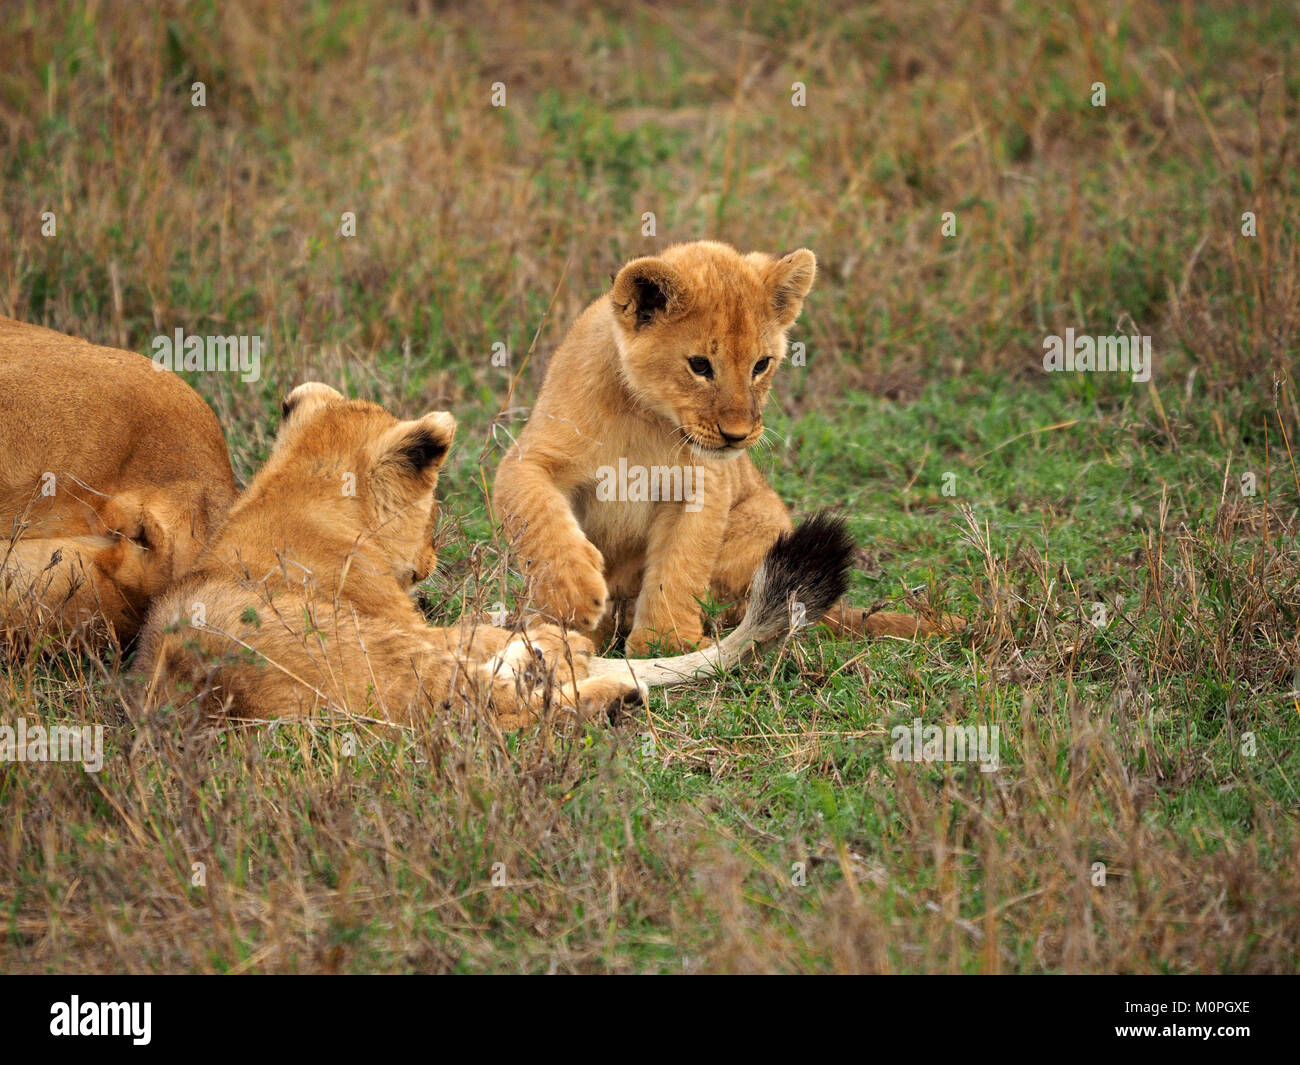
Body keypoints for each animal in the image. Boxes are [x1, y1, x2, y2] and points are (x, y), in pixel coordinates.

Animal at [133, 383, 854, 732]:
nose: (429, 561)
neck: (291, 495)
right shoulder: (406, 623)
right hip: (409, 650)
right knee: (544, 682)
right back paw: (603, 681)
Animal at [492, 240, 964, 654]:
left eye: (761, 365)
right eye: (700, 365)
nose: (737, 435)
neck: (646, 414)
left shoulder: (702, 486)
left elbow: (681, 566)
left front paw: (668, 643)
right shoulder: (530, 458)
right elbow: (538, 513)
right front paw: (570, 595)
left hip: (763, 521)